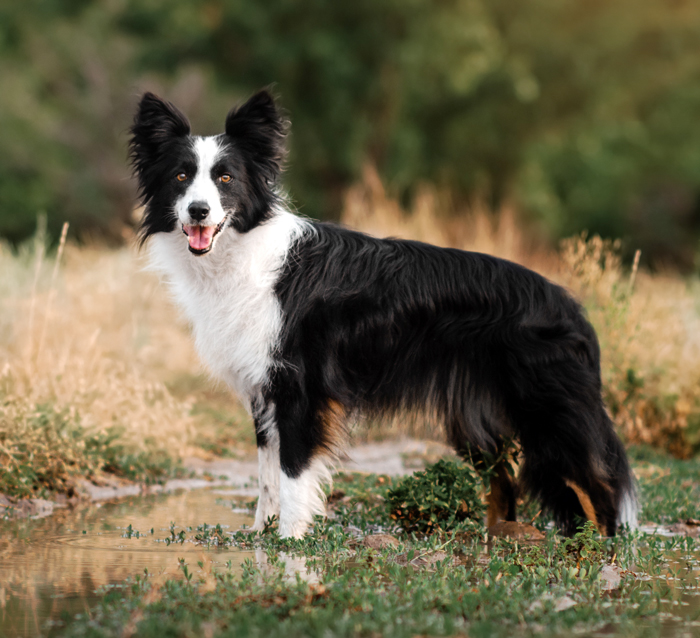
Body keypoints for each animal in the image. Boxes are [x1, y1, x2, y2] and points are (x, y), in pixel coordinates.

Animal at [131, 90, 640, 540]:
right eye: (180, 176)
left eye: (226, 179)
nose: (198, 211)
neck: (242, 251)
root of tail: (571, 307)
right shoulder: (264, 391)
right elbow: (266, 475)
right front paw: (261, 537)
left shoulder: (301, 390)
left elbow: (292, 474)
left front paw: (289, 543)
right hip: (476, 416)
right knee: (507, 482)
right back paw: (501, 540)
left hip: (547, 410)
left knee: (598, 485)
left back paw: (601, 554)